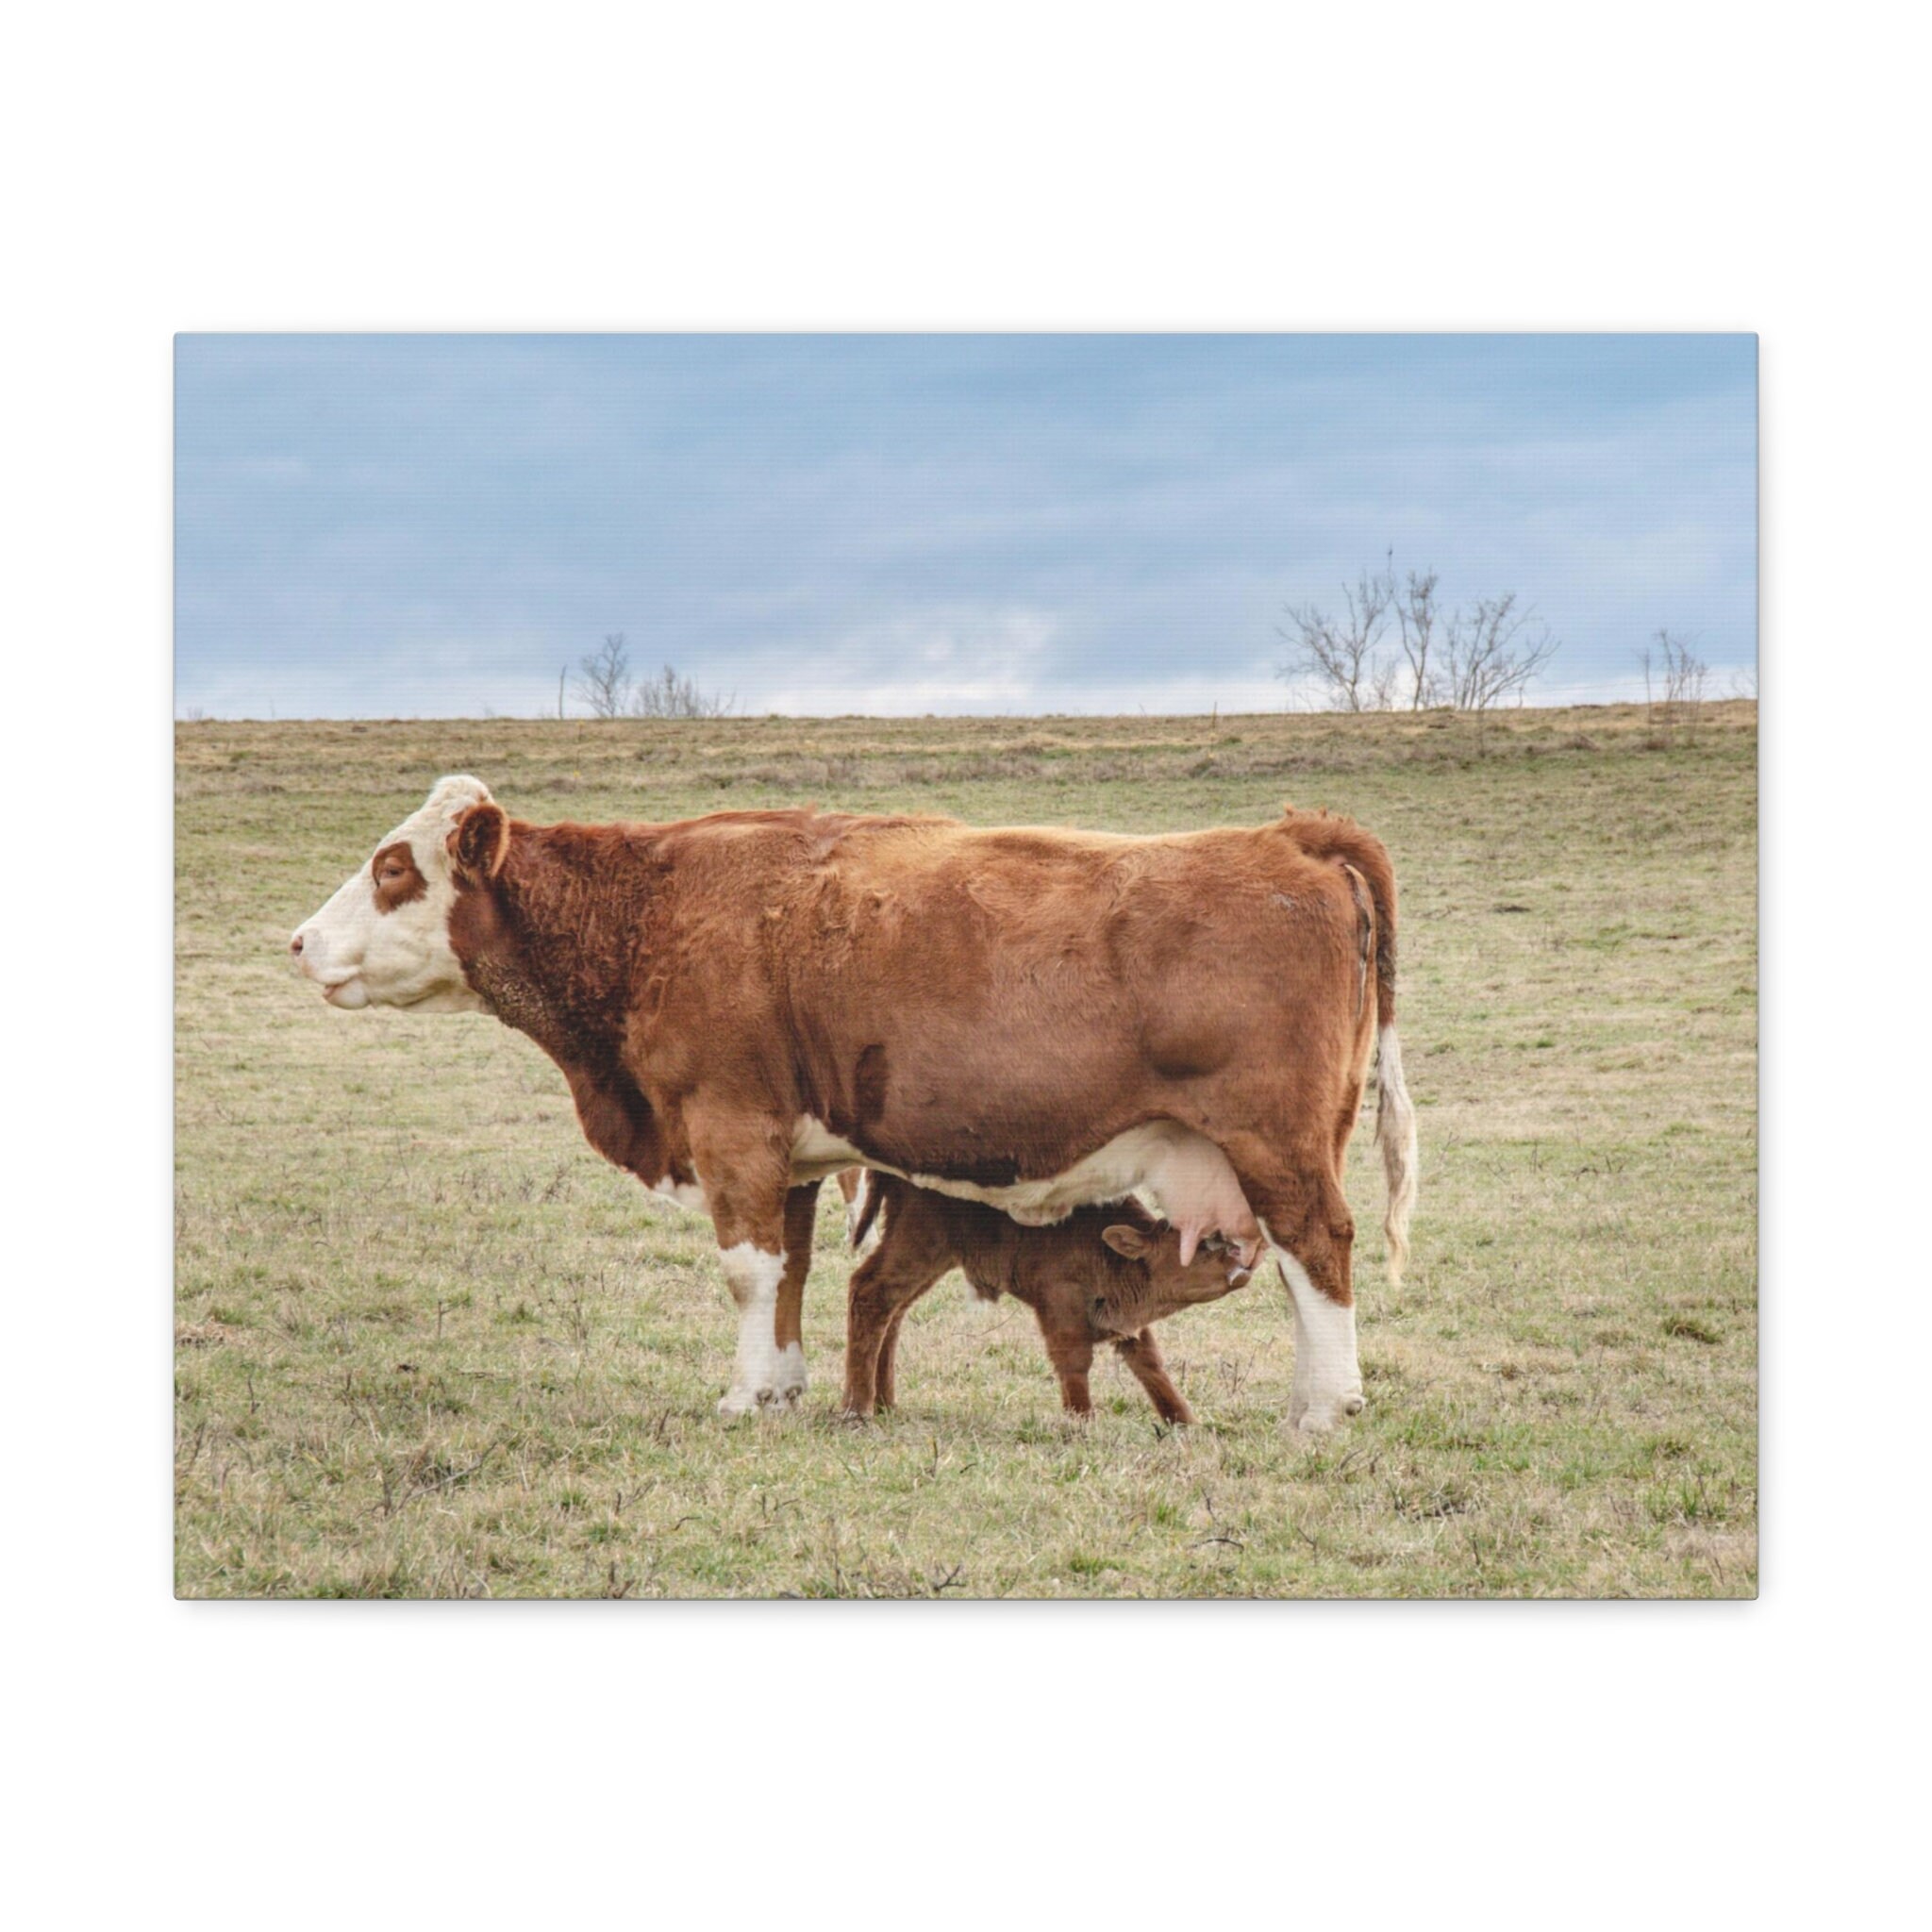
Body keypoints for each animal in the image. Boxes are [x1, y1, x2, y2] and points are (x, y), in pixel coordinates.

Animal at [840, 1171, 1255, 1423]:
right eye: (1199, 1247)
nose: (1242, 1266)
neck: (1108, 1248)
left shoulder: (1124, 1320)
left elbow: (1148, 1362)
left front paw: (1184, 1420)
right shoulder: (1059, 1301)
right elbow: (1074, 1359)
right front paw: (1082, 1419)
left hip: (928, 1256)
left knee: (893, 1311)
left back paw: (884, 1402)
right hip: (920, 1245)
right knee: (870, 1292)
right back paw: (858, 1408)